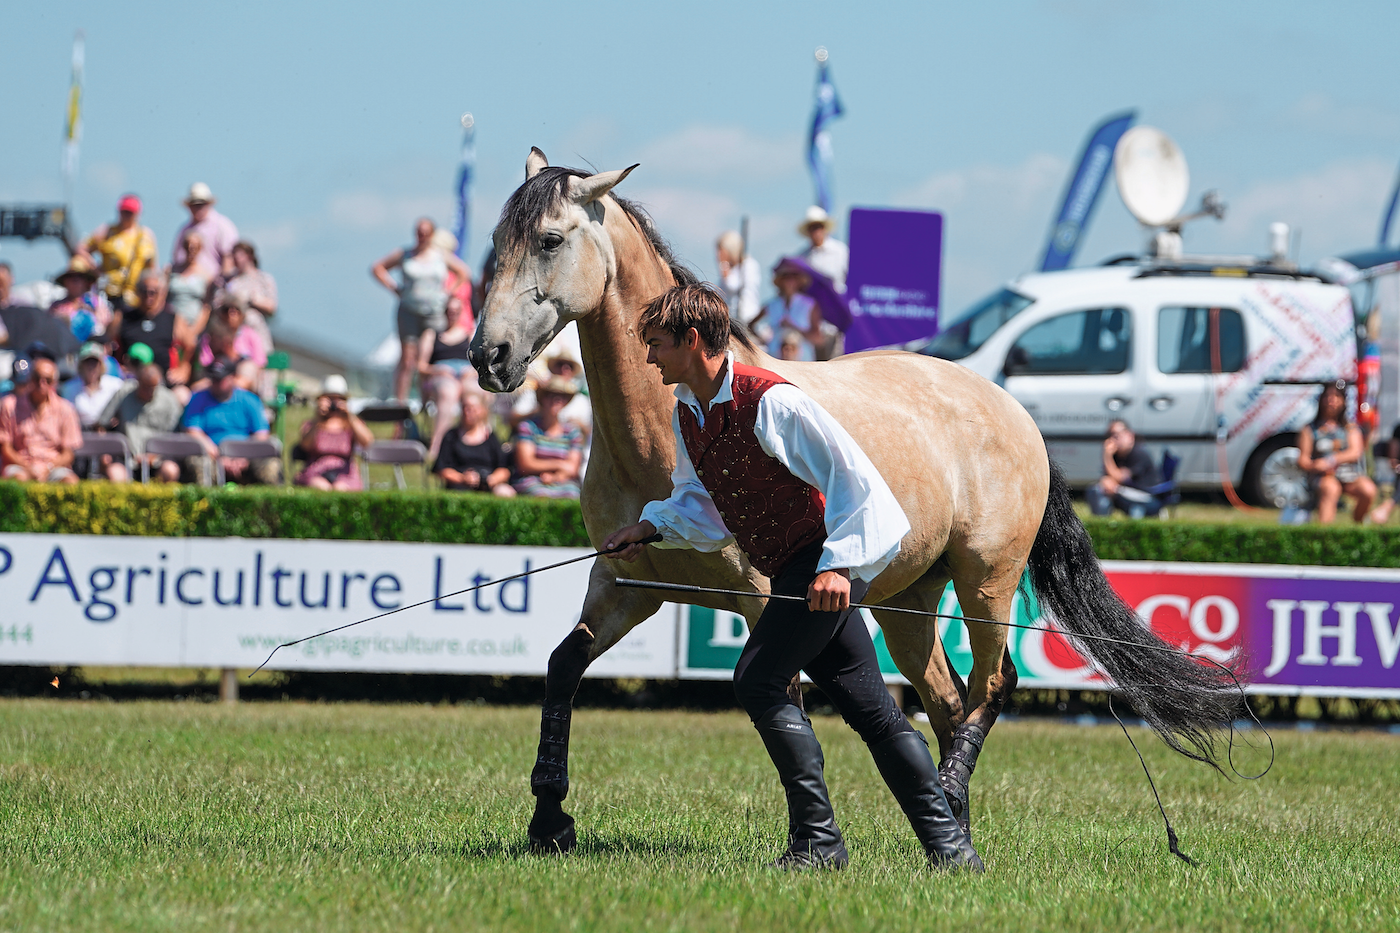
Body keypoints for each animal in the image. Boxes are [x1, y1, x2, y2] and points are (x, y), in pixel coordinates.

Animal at [469, 148, 1241, 855]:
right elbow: (562, 667)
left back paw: (948, 809)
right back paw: (950, 823)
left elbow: (783, 698)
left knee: (992, 684)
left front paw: (808, 839)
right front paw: (550, 822)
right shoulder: (624, 584)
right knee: (946, 699)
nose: (487, 355)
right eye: (495, 243)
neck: (670, 424)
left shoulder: (764, 598)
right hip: (910, 601)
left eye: (549, 240)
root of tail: (1013, 409)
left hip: (986, 580)